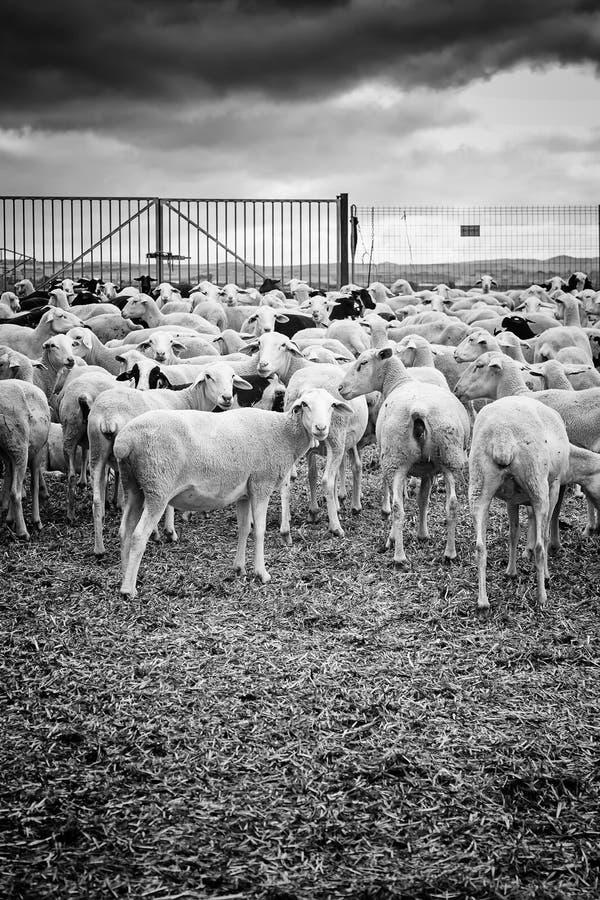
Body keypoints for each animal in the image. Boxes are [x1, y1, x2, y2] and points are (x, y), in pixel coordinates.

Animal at [0, 381, 51, 538]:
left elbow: (11, 478)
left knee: (12, 487)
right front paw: (37, 521)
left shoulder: (8, 457)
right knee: (14, 492)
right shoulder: (37, 452)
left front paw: (10, 520)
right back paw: (23, 532)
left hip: (12, 448)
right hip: (19, 445)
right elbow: (34, 483)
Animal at [88, 363, 253, 556]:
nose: (226, 398)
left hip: (96, 451)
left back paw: (99, 548)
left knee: (97, 501)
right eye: (208, 376)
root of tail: (108, 417)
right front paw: (169, 531)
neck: (188, 400)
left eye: (232, 376)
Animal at [114, 388, 352, 596]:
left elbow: (244, 529)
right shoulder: (261, 484)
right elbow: (259, 530)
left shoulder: (244, 493)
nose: (321, 428)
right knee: (138, 535)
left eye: (331, 405)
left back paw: (125, 578)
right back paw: (129, 590)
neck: (283, 434)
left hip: (134, 486)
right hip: (158, 487)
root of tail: (124, 442)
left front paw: (239, 568)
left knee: (125, 531)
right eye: (304, 405)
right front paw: (262, 573)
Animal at [339, 347, 470, 565]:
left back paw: (399, 556)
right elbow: (423, 499)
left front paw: (394, 537)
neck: (400, 381)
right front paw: (423, 534)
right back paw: (450, 553)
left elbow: (402, 498)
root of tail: (419, 410)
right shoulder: (428, 469)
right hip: (450, 459)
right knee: (452, 504)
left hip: (396, 460)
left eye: (363, 363)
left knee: (397, 506)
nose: (340, 388)